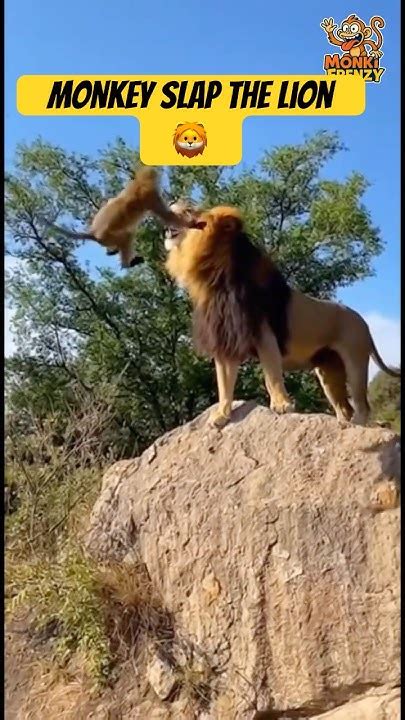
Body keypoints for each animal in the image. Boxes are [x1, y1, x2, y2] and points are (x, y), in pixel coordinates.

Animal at [47, 166, 194, 269]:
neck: (136, 185)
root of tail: (93, 234)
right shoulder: (150, 196)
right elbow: (168, 216)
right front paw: (190, 222)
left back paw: (112, 251)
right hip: (108, 237)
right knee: (127, 236)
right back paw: (127, 263)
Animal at [164, 203, 400, 428]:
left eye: (190, 209)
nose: (171, 204)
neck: (214, 279)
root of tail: (364, 322)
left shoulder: (264, 335)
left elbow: (272, 375)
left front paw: (281, 405)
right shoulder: (225, 342)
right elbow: (224, 384)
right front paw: (221, 415)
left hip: (354, 360)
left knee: (362, 405)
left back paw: (357, 426)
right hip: (329, 372)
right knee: (344, 408)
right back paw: (344, 425)